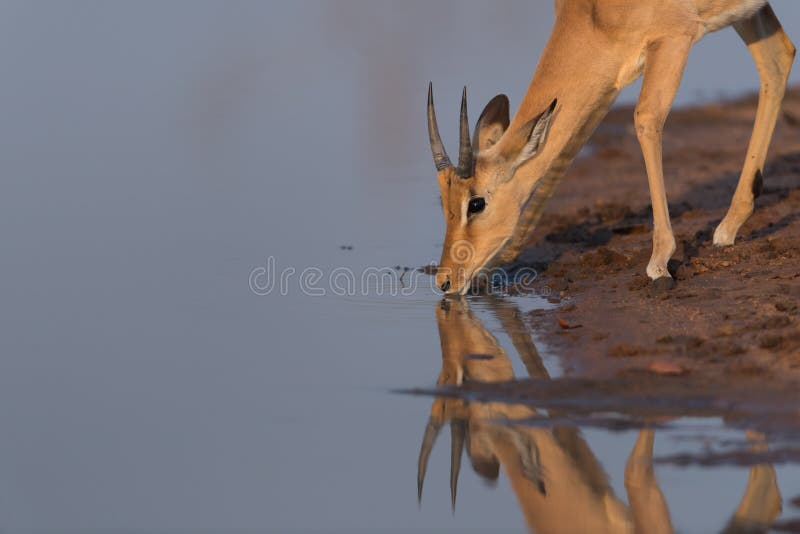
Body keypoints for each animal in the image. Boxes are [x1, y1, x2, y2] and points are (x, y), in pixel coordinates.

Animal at [428, 1, 796, 295]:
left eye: (476, 203)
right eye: (443, 202)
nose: (445, 281)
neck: (593, 13)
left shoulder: (674, 39)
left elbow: (646, 119)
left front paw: (659, 264)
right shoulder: (610, 81)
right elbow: (569, 148)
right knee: (778, 58)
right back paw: (730, 224)